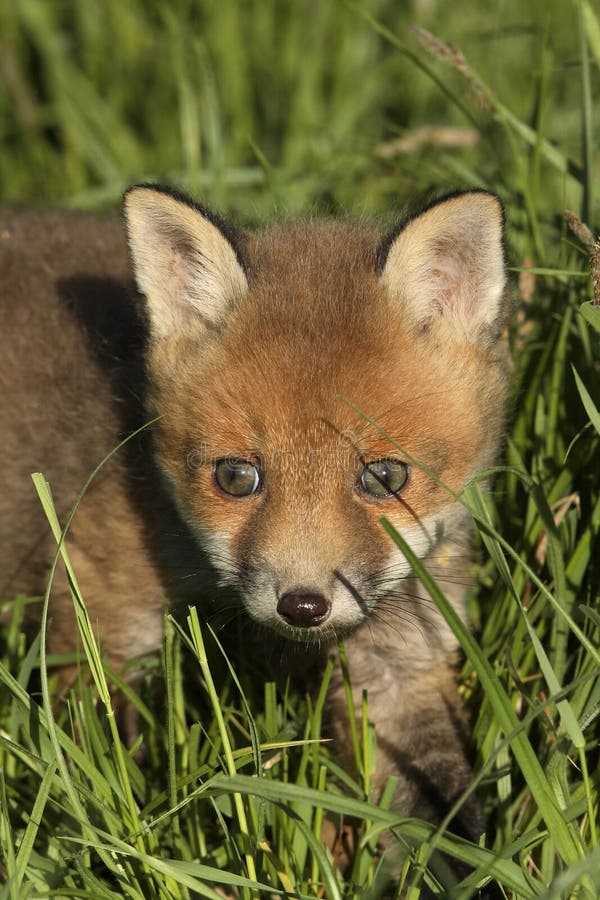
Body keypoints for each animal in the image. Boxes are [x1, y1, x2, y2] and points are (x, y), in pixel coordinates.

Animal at [0, 186, 508, 847]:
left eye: (384, 478)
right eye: (237, 477)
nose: (302, 606)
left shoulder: (398, 656)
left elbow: (440, 821)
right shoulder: (94, 613)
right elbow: (106, 776)